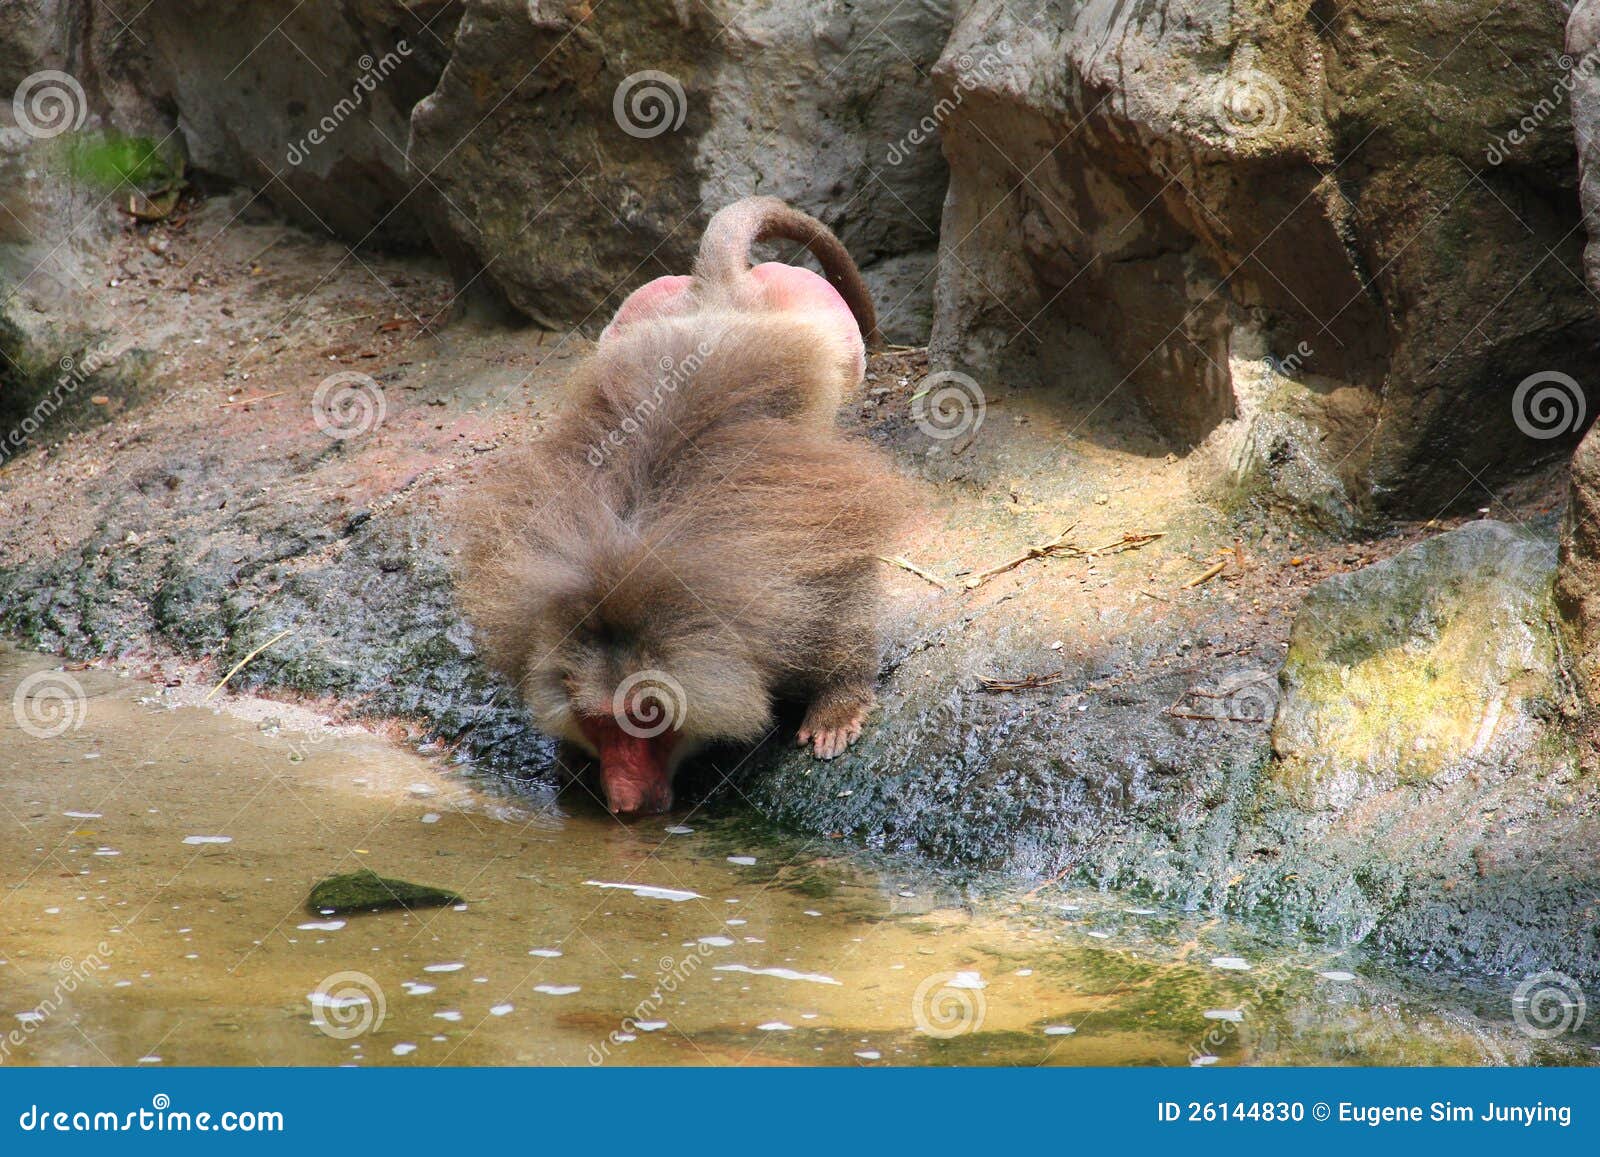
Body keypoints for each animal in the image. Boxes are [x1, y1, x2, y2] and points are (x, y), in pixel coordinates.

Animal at [457, 197, 909, 817]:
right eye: (600, 723)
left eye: (648, 717)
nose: (623, 803)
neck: (629, 567)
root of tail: (718, 294)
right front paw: (572, 763)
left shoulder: (783, 570)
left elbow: (840, 595)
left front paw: (836, 709)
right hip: (637, 313)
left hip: (825, 325)